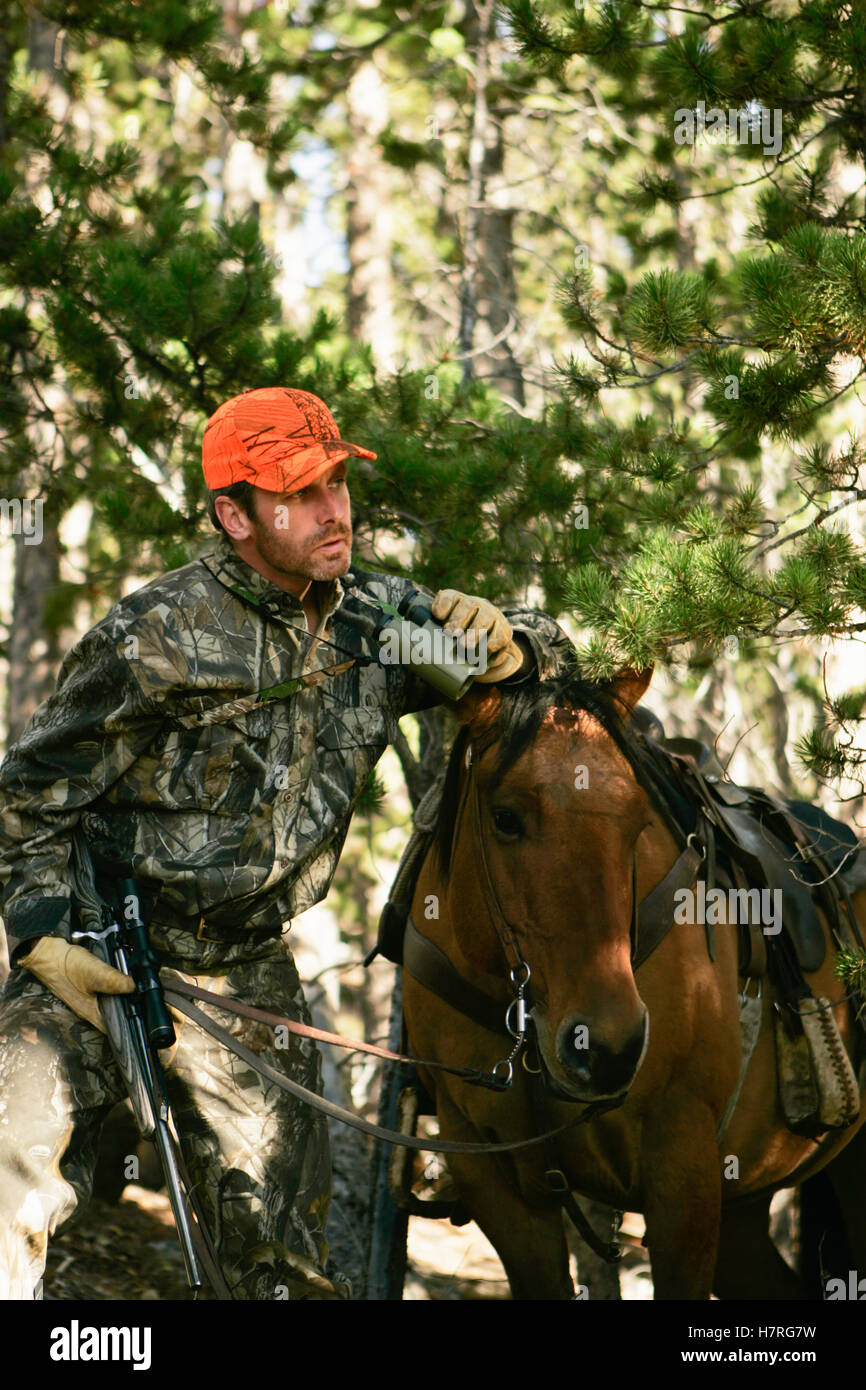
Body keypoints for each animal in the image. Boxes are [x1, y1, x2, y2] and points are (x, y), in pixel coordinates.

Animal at [400, 667, 866, 1299]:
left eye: (637, 820)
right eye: (505, 817)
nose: (607, 1047)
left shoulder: (683, 1166)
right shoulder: (491, 1177)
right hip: (743, 1210)